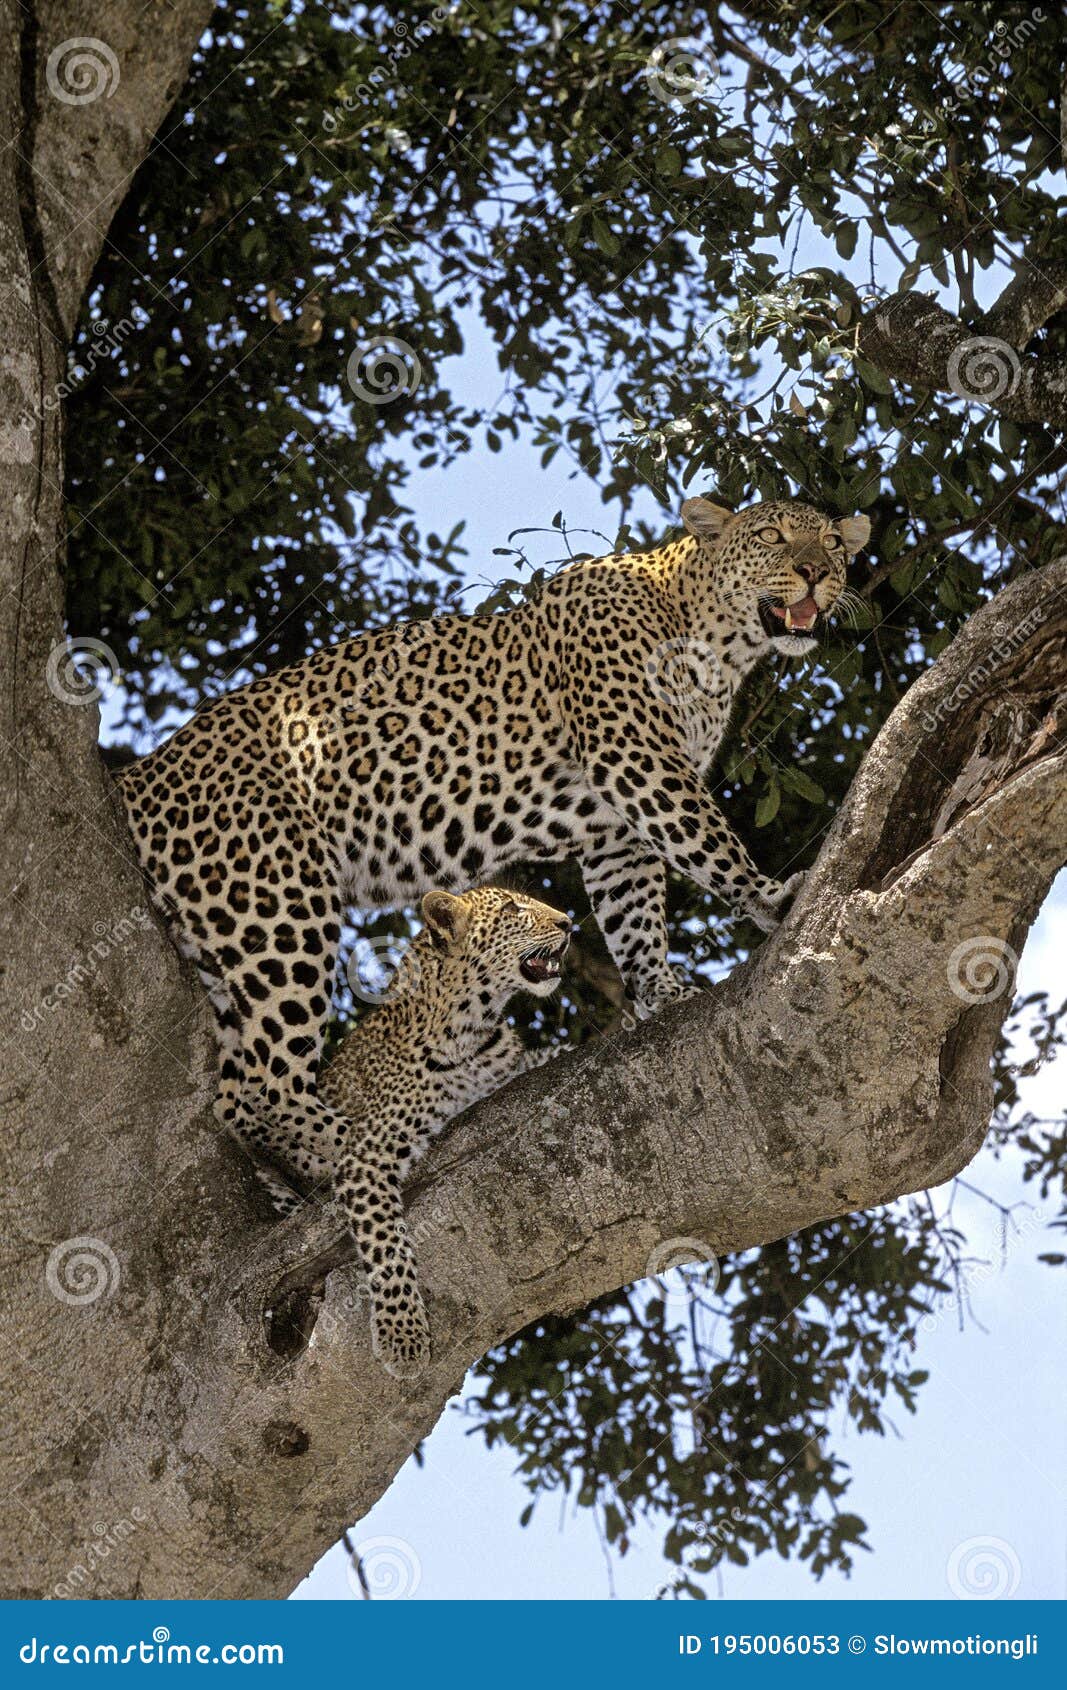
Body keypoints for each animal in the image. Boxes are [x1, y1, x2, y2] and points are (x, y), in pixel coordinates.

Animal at [115, 495, 869, 1314]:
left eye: (832, 542)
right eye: (772, 535)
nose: (815, 572)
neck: (715, 642)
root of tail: (136, 778)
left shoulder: (614, 827)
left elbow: (634, 915)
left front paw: (662, 993)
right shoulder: (638, 761)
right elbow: (706, 839)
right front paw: (766, 895)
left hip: (224, 938)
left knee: (232, 1088)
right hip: (277, 905)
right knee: (261, 1086)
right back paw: (354, 1139)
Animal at [269, 884, 568, 1377]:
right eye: (513, 909)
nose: (568, 922)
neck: (471, 1028)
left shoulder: (506, 1071)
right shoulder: (365, 1155)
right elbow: (387, 1245)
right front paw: (402, 1337)